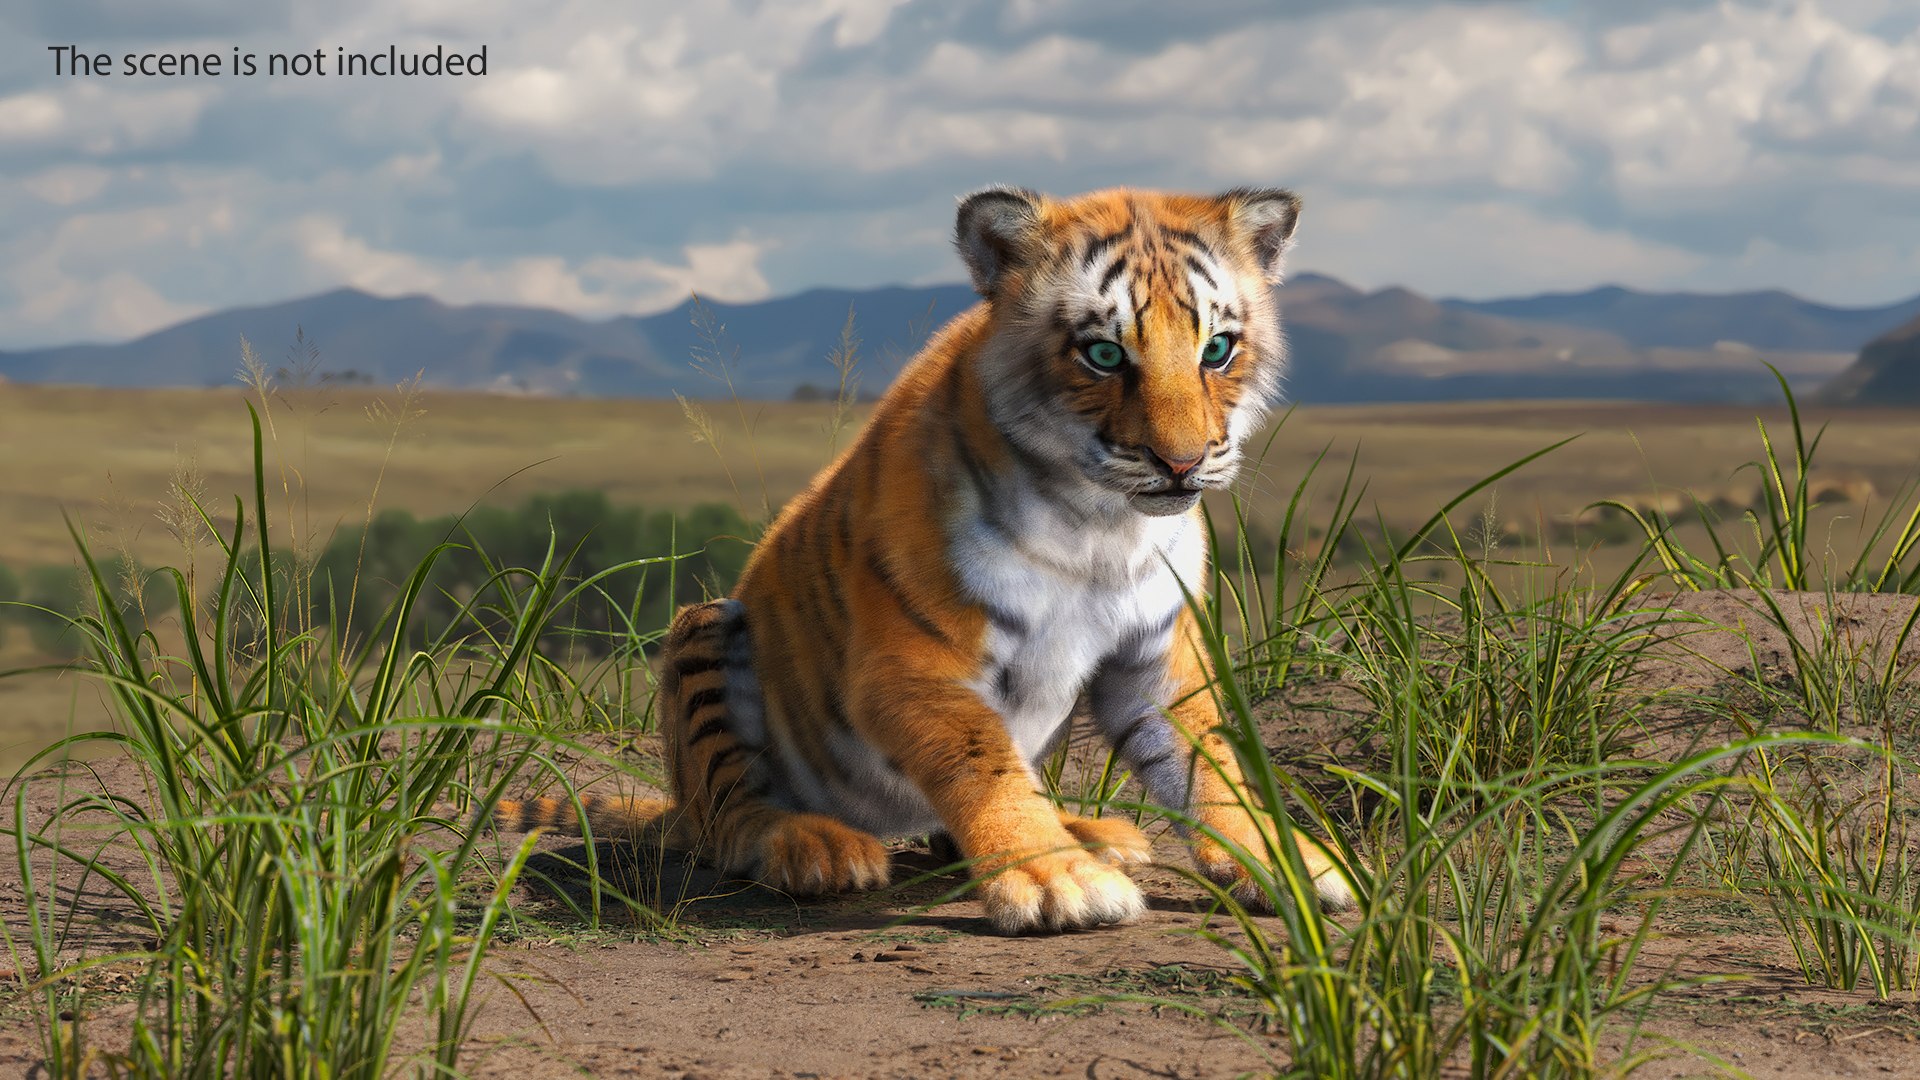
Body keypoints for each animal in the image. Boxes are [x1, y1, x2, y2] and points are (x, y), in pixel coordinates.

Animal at [496, 185, 1356, 934]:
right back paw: (815, 846)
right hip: (709, 628)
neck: (1100, 523)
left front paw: (1283, 864)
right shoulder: (913, 663)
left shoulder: (1158, 663)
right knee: (729, 821)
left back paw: (1091, 832)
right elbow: (982, 761)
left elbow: (1215, 766)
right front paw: (1054, 878)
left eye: (1218, 349)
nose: (1182, 464)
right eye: (1105, 354)